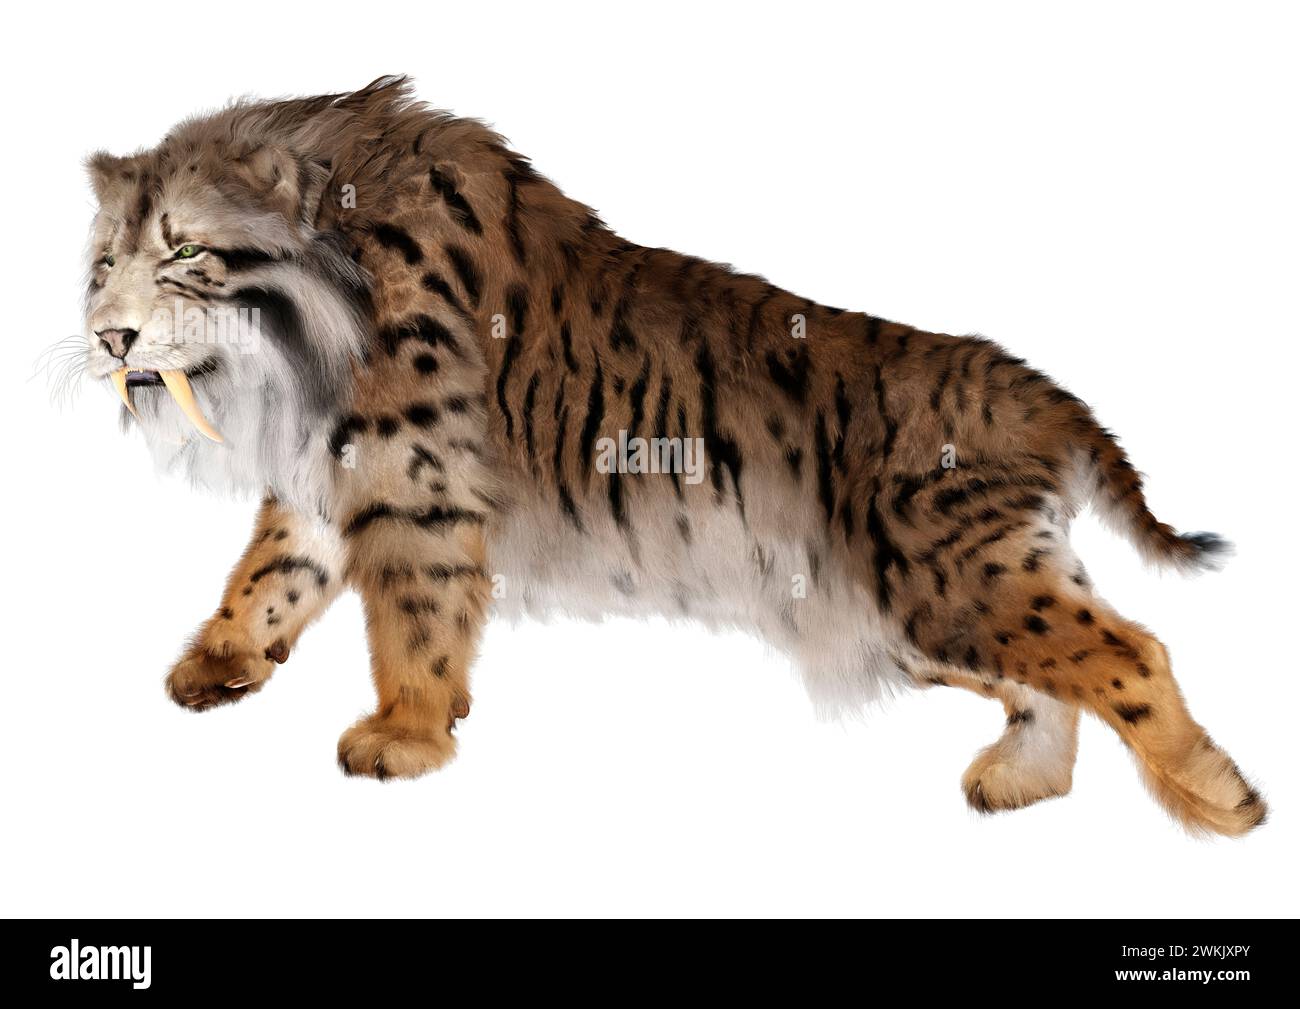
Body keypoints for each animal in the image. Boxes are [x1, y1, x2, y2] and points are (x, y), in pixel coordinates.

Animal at [76, 76, 1265, 836]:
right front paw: (223, 660)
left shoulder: (415, 485)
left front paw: (407, 734)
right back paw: (1026, 779)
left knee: (1132, 652)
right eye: (101, 265)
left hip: (945, 580)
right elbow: (269, 577)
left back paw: (1222, 801)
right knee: (1058, 674)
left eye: (184, 253)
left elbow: (408, 618)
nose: (109, 338)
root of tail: (1040, 394)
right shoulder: (332, 482)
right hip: (922, 601)